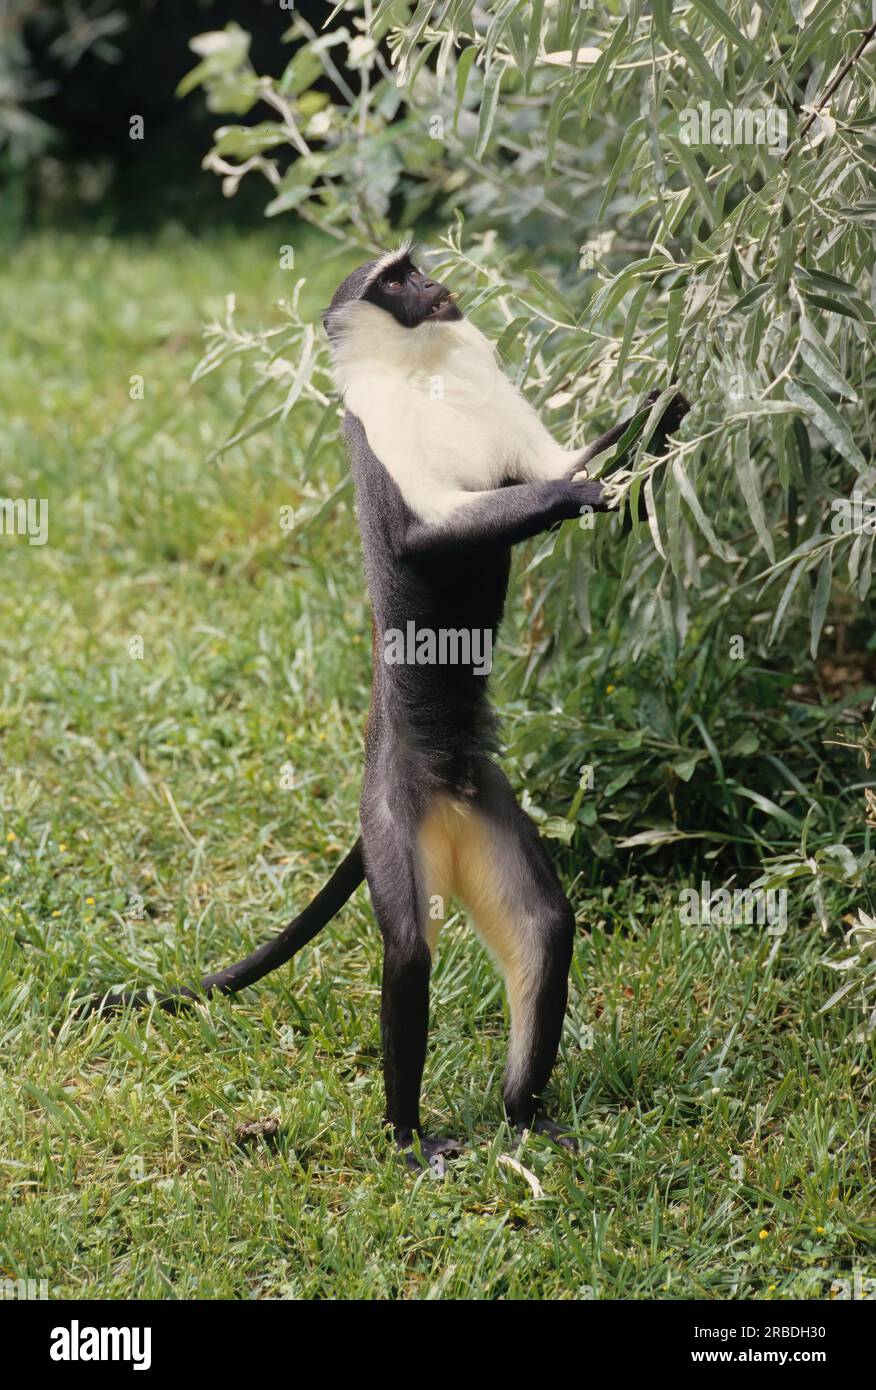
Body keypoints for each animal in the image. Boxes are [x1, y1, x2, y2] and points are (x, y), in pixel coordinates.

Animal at [85, 242, 688, 1174]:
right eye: (397, 278)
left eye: (418, 264)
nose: (437, 284)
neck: (424, 365)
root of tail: (432, 776)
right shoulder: (382, 433)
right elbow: (425, 537)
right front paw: (582, 497)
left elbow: (564, 460)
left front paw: (661, 413)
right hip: (391, 815)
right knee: (407, 954)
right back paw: (407, 1135)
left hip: (484, 808)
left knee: (545, 927)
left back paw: (522, 1111)